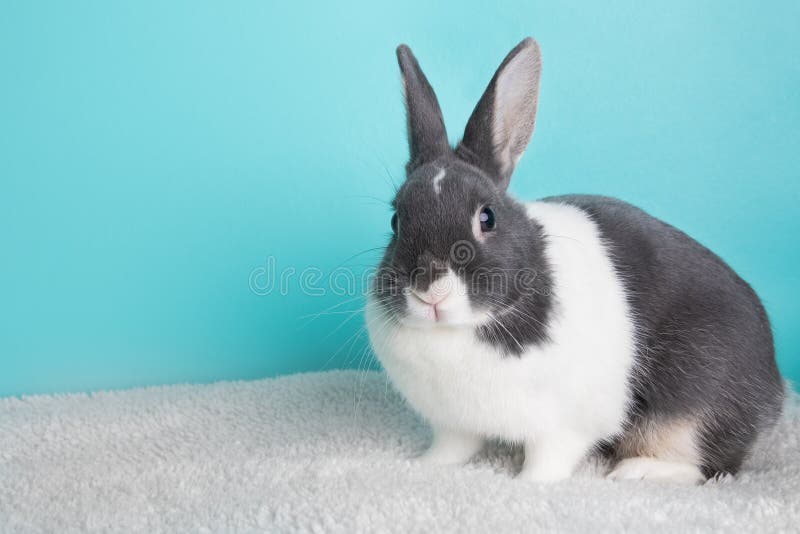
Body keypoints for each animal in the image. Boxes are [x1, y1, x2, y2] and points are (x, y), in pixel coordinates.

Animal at [365, 37, 784, 484]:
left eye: (487, 217)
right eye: (396, 220)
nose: (430, 290)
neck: (459, 330)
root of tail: (773, 389)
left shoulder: (562, 429)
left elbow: (547, 461)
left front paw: (527, 484)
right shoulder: (453, 425)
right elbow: (452, 448)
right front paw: (423, 465)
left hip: (691, 405)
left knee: (703, 466)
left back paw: (634, 472)